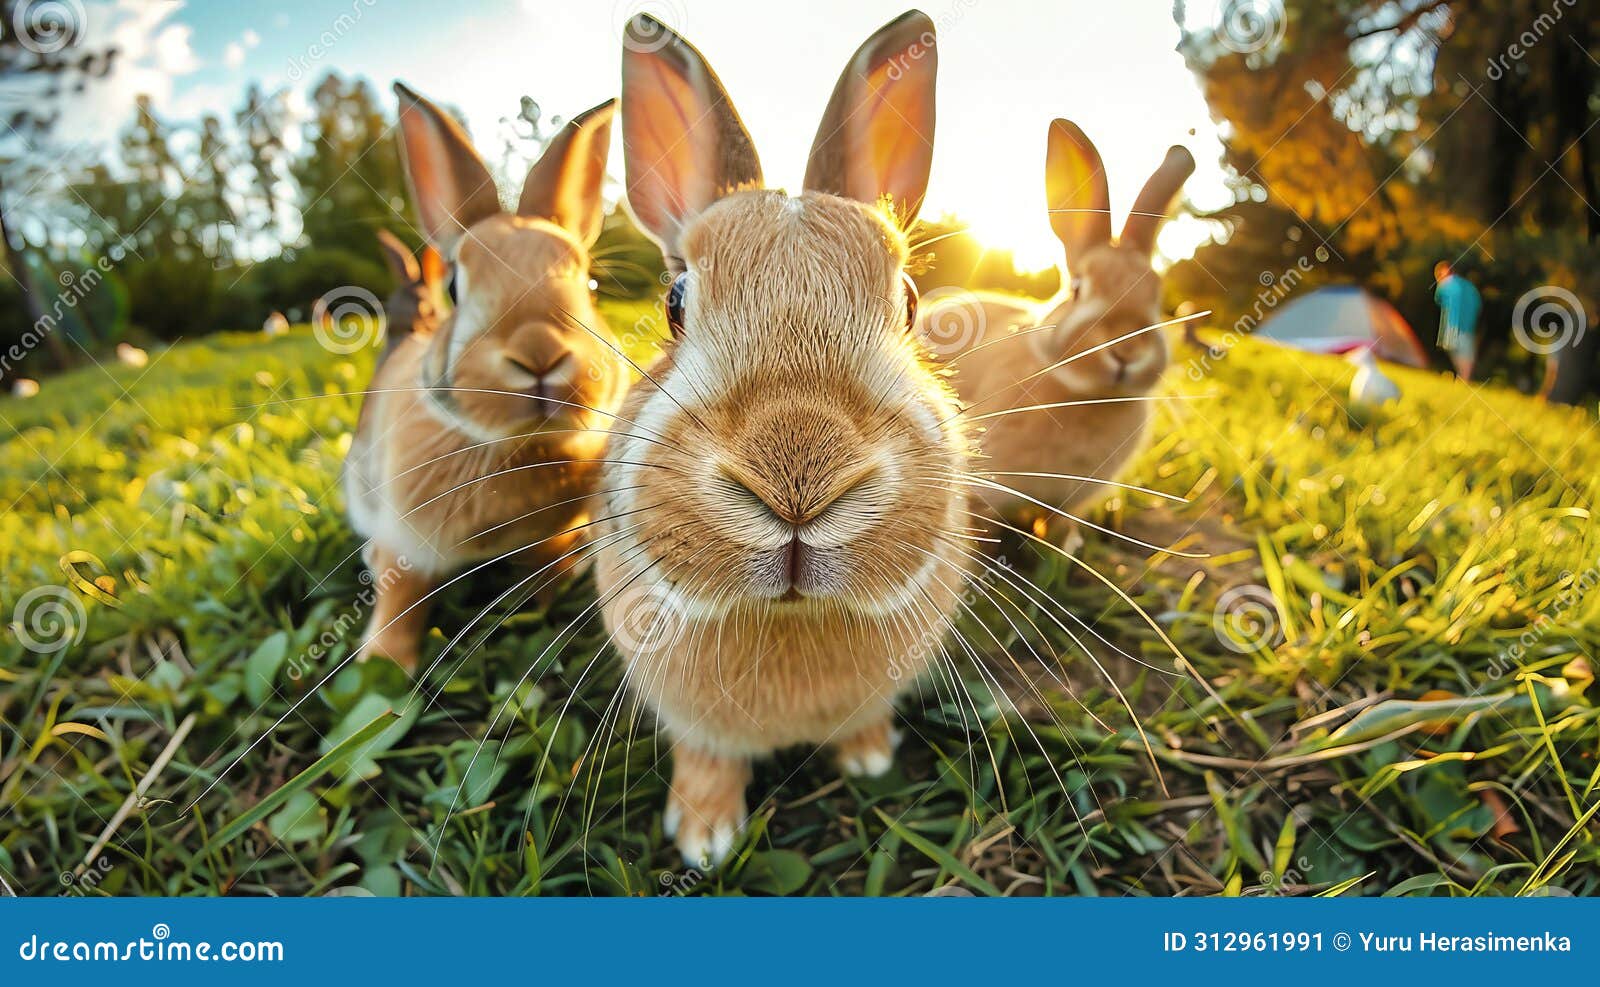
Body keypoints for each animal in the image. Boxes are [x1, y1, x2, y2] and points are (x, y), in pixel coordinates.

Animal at [344, 84, 626, 672]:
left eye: (589, 283)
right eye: (456, 287)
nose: (539, 353)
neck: (515, 447)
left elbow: (548, 567)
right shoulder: (404, 543)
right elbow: (399, 596)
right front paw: (385, 662)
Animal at [597, 10, 971, 867]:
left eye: (909, 301)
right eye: (674, 301)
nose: (799, 479)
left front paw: (868, 758)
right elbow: (706, 756)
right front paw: (704, 838)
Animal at [919, 119, 1194, 551]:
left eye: (1156, 295)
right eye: (1079, 287)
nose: (1128, 351)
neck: (1087, 395)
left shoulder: (1071, 501)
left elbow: (1060, 522)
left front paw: (1068, 546)